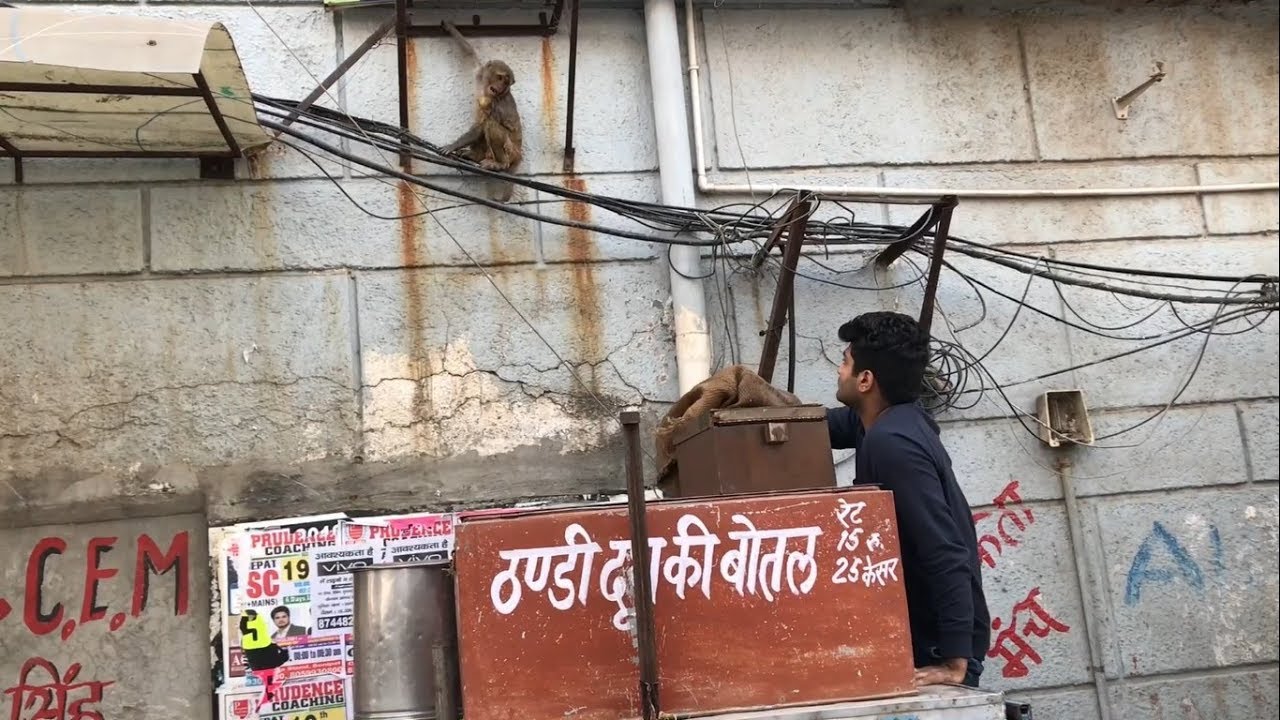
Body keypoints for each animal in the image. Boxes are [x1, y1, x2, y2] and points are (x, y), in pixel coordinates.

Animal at [440, 21, 523, 203]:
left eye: (506, 82)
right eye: (500, 78)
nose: (500, 87)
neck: (487, 91)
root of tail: (519, 156)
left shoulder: (494, 103)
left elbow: (484, 124)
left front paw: (453, 145)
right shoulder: (480, 73)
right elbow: (469, 52)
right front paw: (448, 27)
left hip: (511, 151)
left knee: (490, 126)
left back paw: (499, 164)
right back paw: (475, 156)